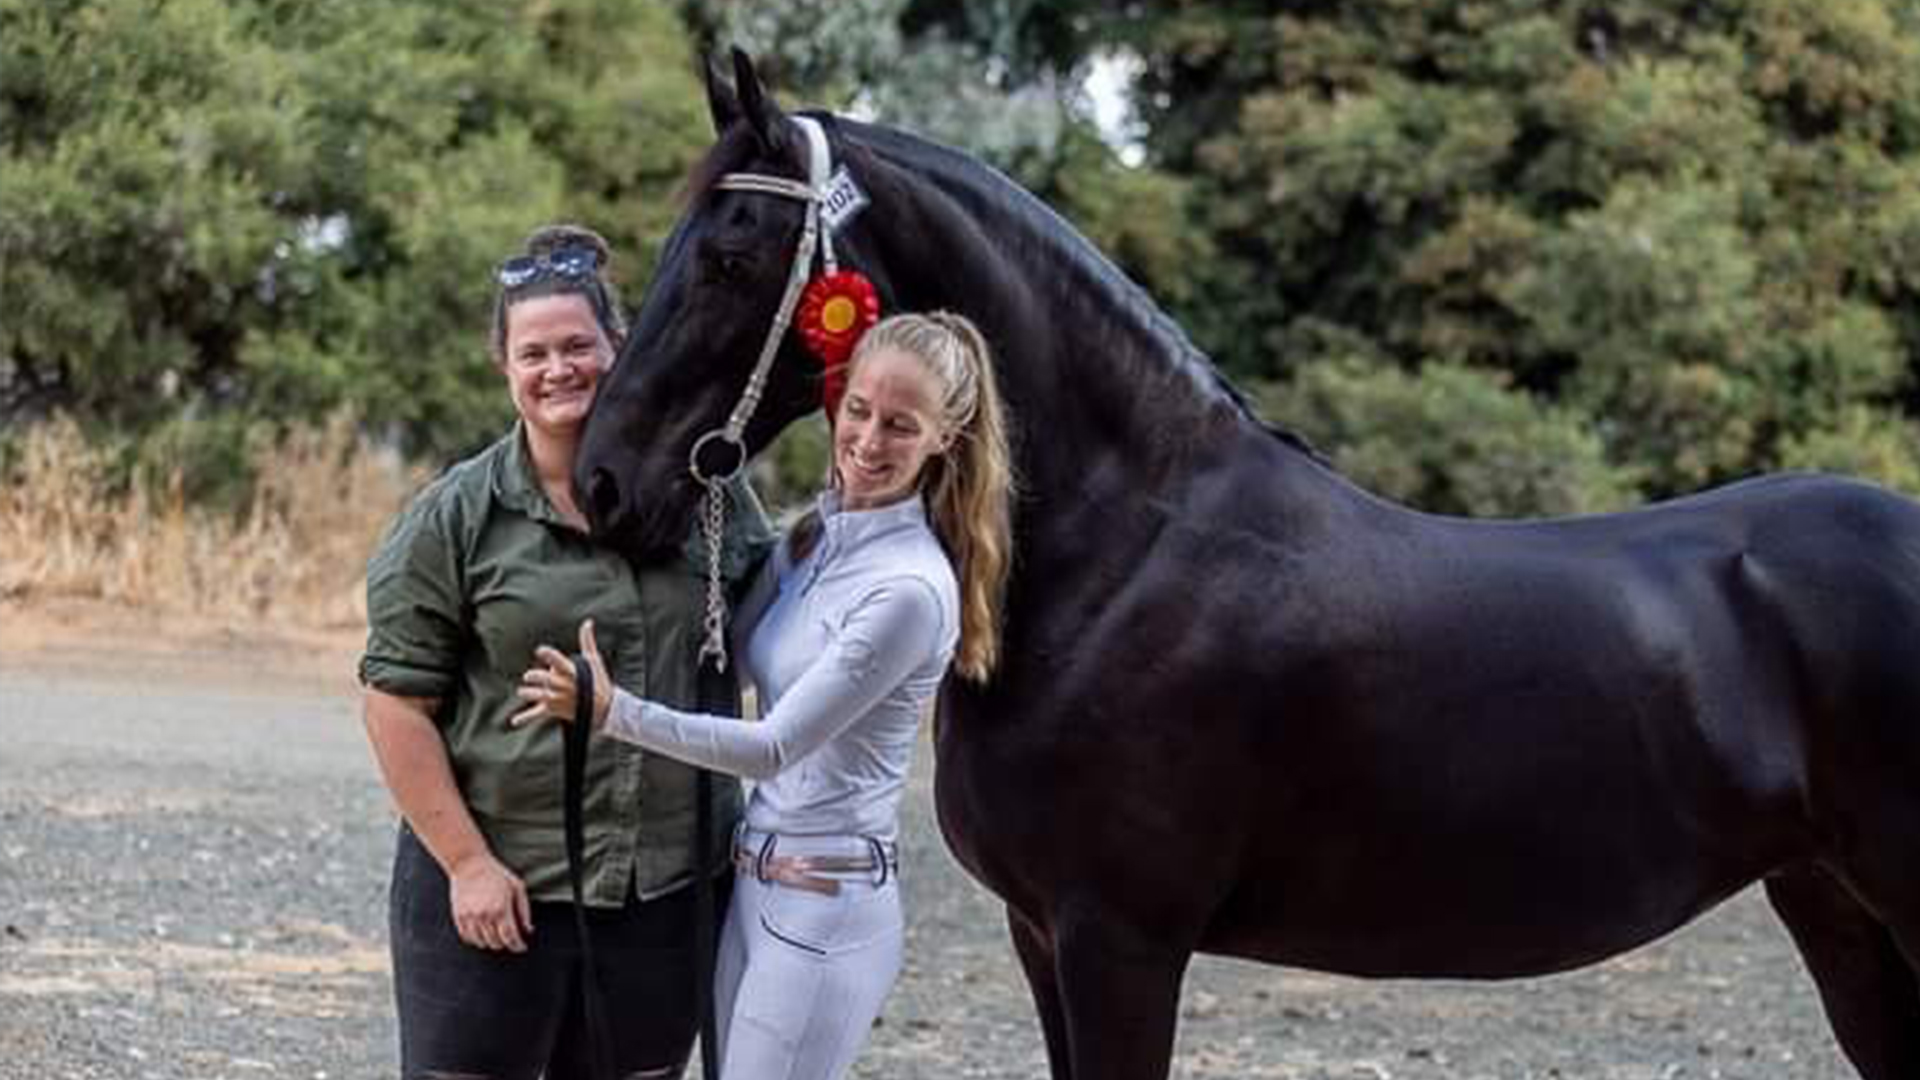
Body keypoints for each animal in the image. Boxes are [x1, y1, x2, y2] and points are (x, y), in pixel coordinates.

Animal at [576, 50, 1920, 1080]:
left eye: (731, 255)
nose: (600, 481)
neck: (1122, 556)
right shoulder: (1040, 937)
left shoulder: (1120, 941)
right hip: (1835, 910)